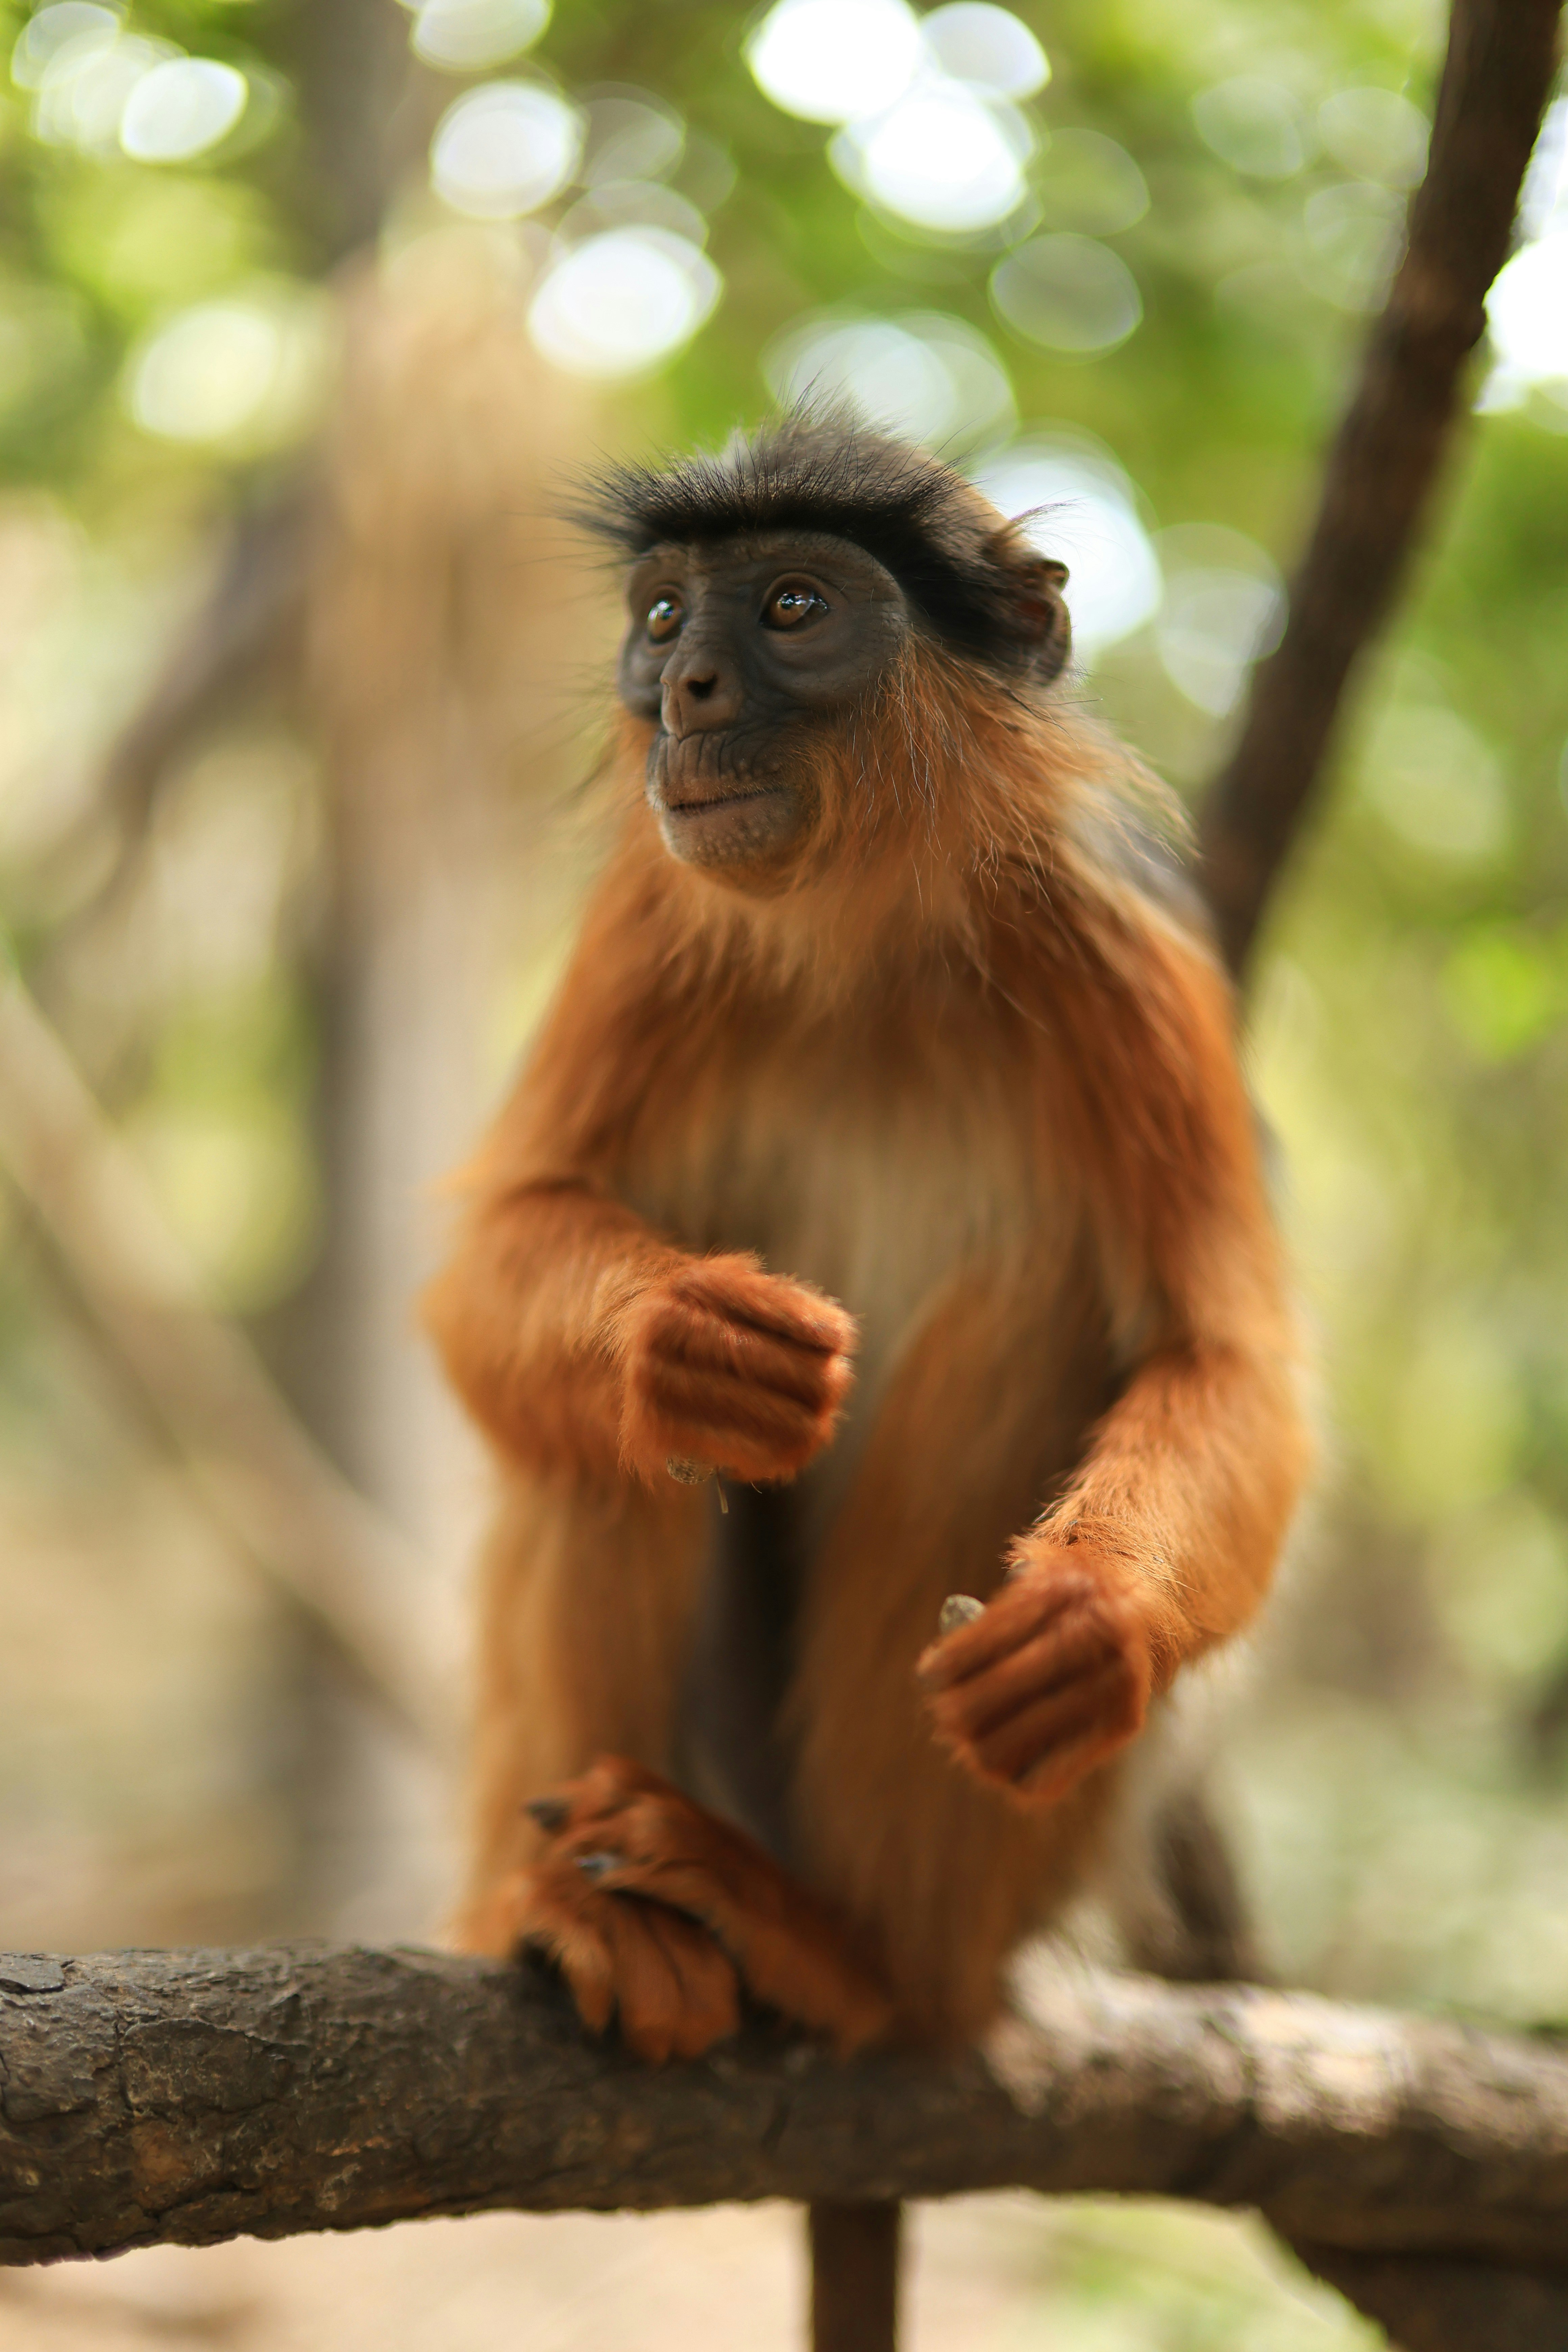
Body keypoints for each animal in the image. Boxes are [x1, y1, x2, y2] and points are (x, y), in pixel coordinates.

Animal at [425, 412, 1310, 2077]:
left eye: (790, 609)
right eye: (661, 619)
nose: (687, 692)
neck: (875, 946)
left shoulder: (1119, 947)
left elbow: (1225, 1359)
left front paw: (1091, 1622)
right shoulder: (653, 918)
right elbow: (492, 1260)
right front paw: (680, 1341)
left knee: (1021, 1331)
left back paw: (843, 1954)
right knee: (591, 1444)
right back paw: (575, 1907)